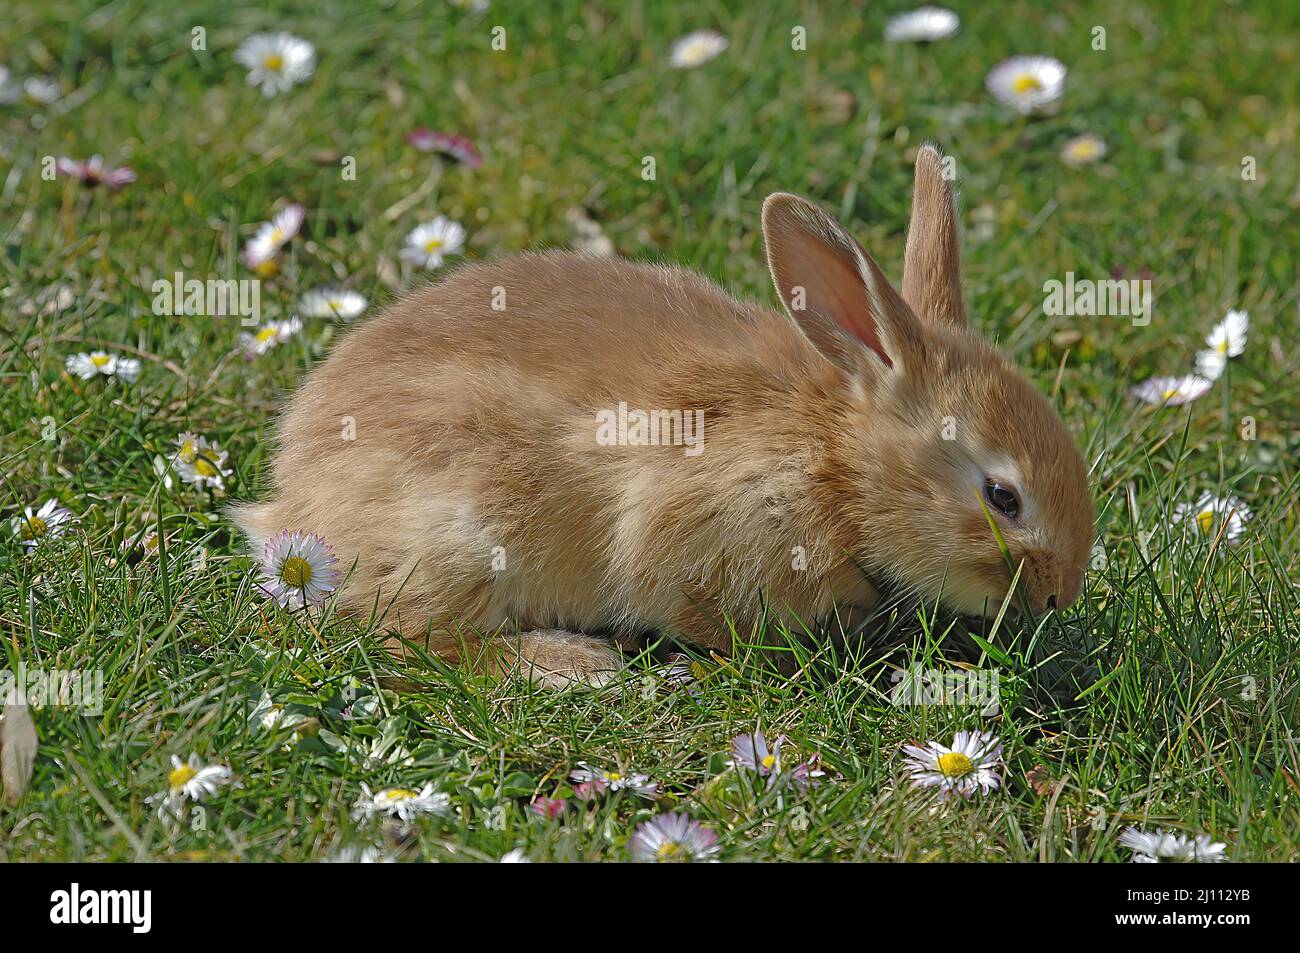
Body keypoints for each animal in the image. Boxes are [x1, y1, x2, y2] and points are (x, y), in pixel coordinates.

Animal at [229, 145, 1094, 687]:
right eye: (1003, 496)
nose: (1061, 596)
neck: (835, 463)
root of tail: (292, 495)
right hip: (462, 535)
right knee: (413, 634)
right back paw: (572, 666)